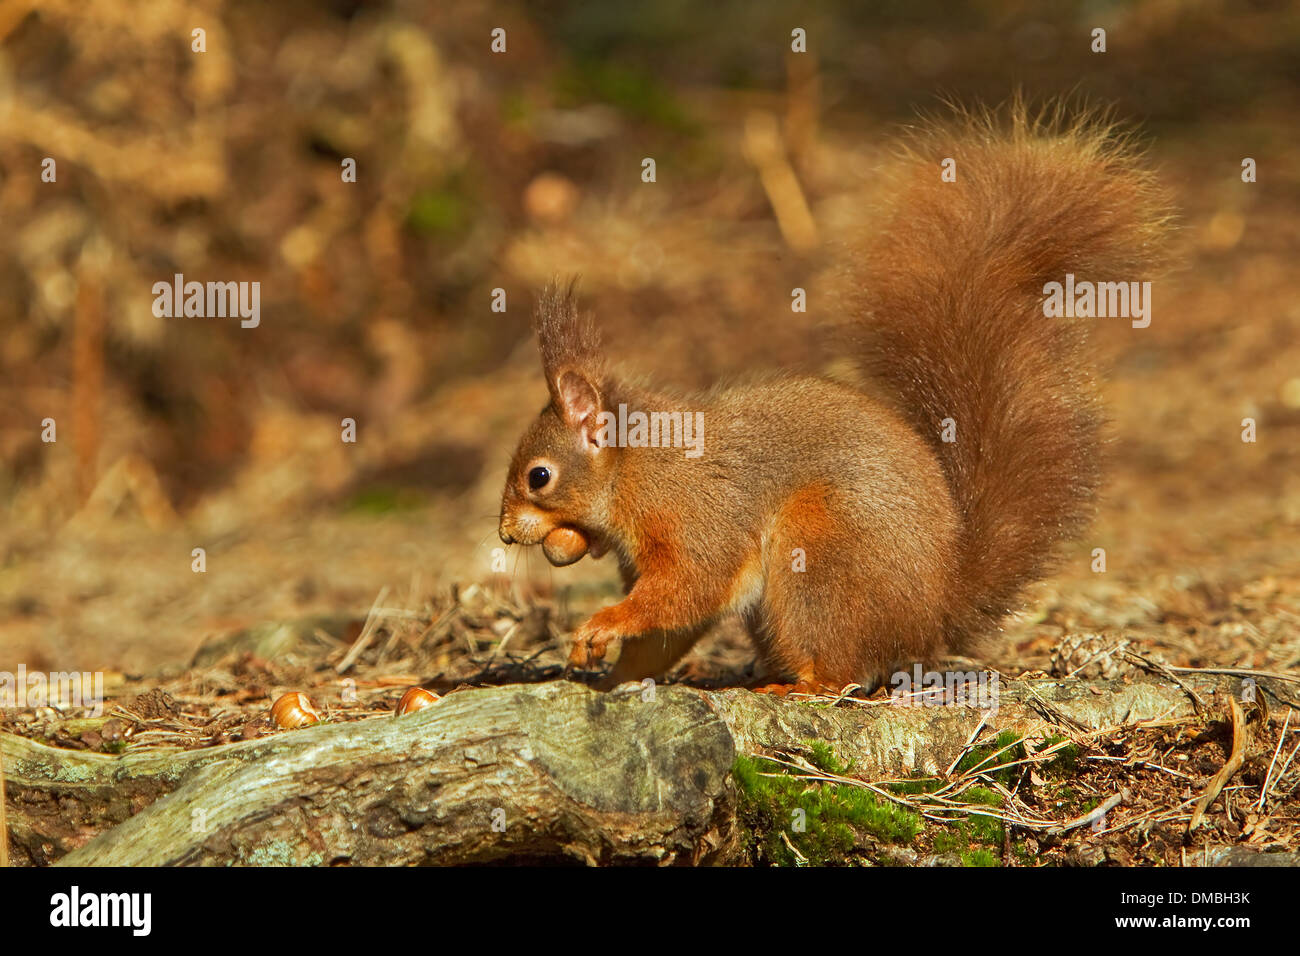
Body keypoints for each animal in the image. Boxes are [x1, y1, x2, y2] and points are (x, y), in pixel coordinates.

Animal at [498, 103, 1170, 693]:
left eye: (538, 476)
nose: (505, 536)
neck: (632, 469)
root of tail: (934, 615)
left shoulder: (693, 515)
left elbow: (690, 587)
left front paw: (600, 626)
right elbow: (670, 630)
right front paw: (607, 673)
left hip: (819, 550)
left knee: (843, 669)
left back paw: (800, 687)